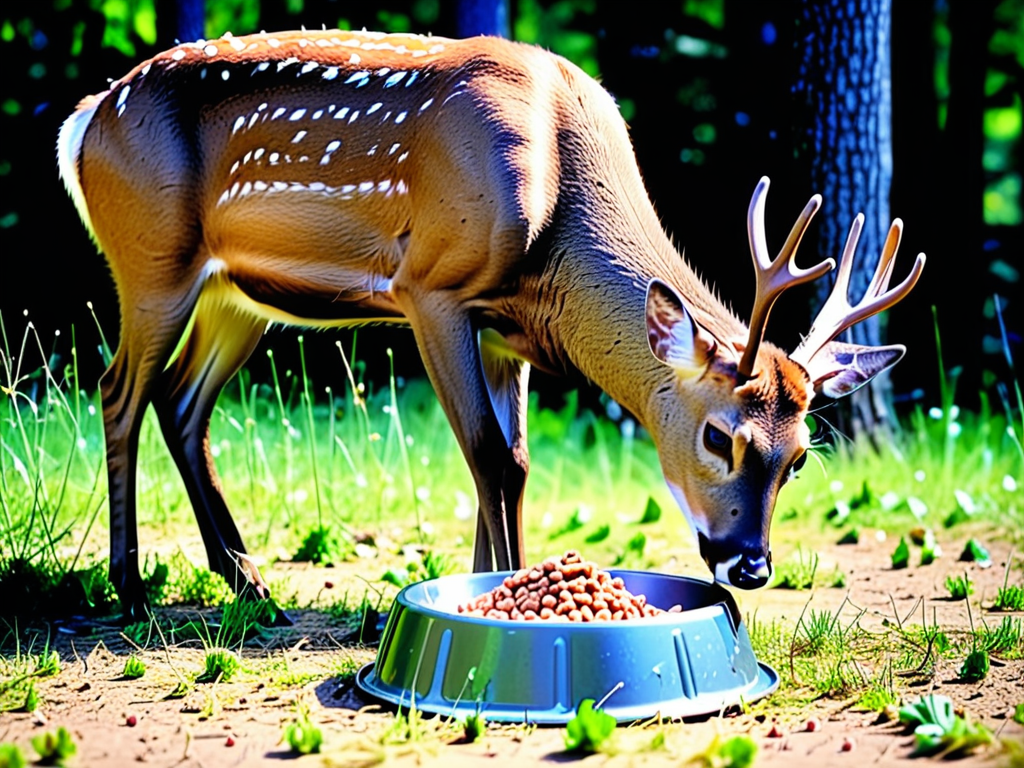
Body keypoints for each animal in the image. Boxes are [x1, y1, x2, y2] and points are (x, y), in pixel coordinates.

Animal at [58, 29, 924, 620]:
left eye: (800, 458)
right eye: (720, 436)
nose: (750, 566)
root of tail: (84, 121)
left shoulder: (508, 331)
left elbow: (513, 463)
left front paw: (492, 583)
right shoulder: (432, 286)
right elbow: (487, 455)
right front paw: (501, 590)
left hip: (236, 295)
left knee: (181, 403)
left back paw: (248, 581)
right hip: (152, 258)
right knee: (116, 390)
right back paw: (129, 588)